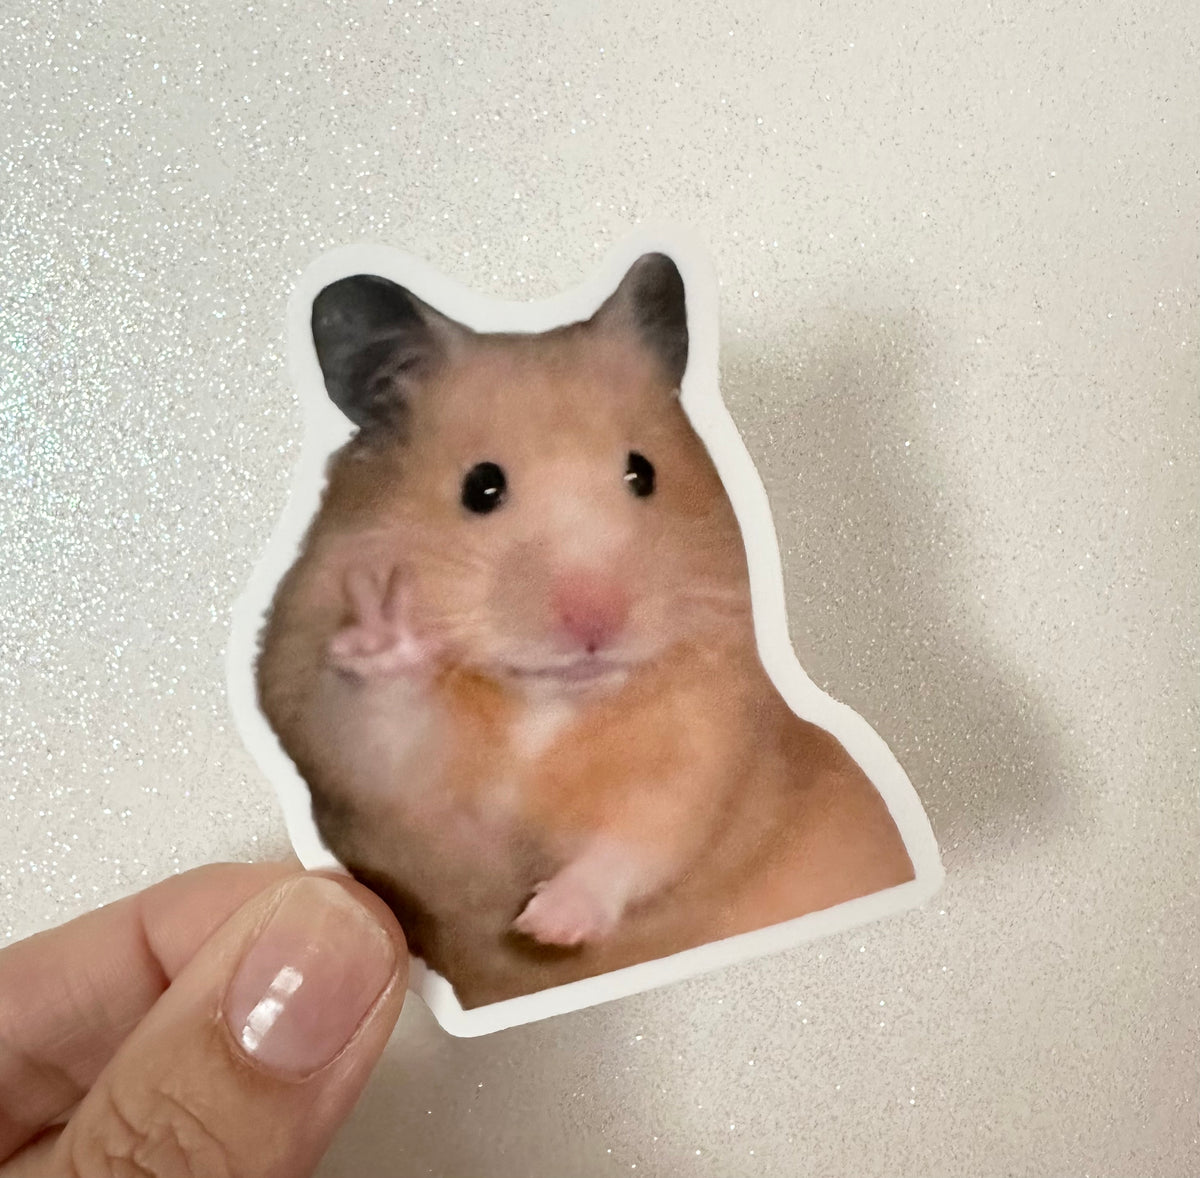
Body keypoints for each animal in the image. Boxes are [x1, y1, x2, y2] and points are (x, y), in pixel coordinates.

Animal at [256, 254, 914, 1009]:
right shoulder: (373, 789)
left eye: (643, 472)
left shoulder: (710, 746)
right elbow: (383, 735)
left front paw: (547, 923)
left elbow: (645, 836)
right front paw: (385, 630)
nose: (596, 621)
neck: (549, 704)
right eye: (481, 487)